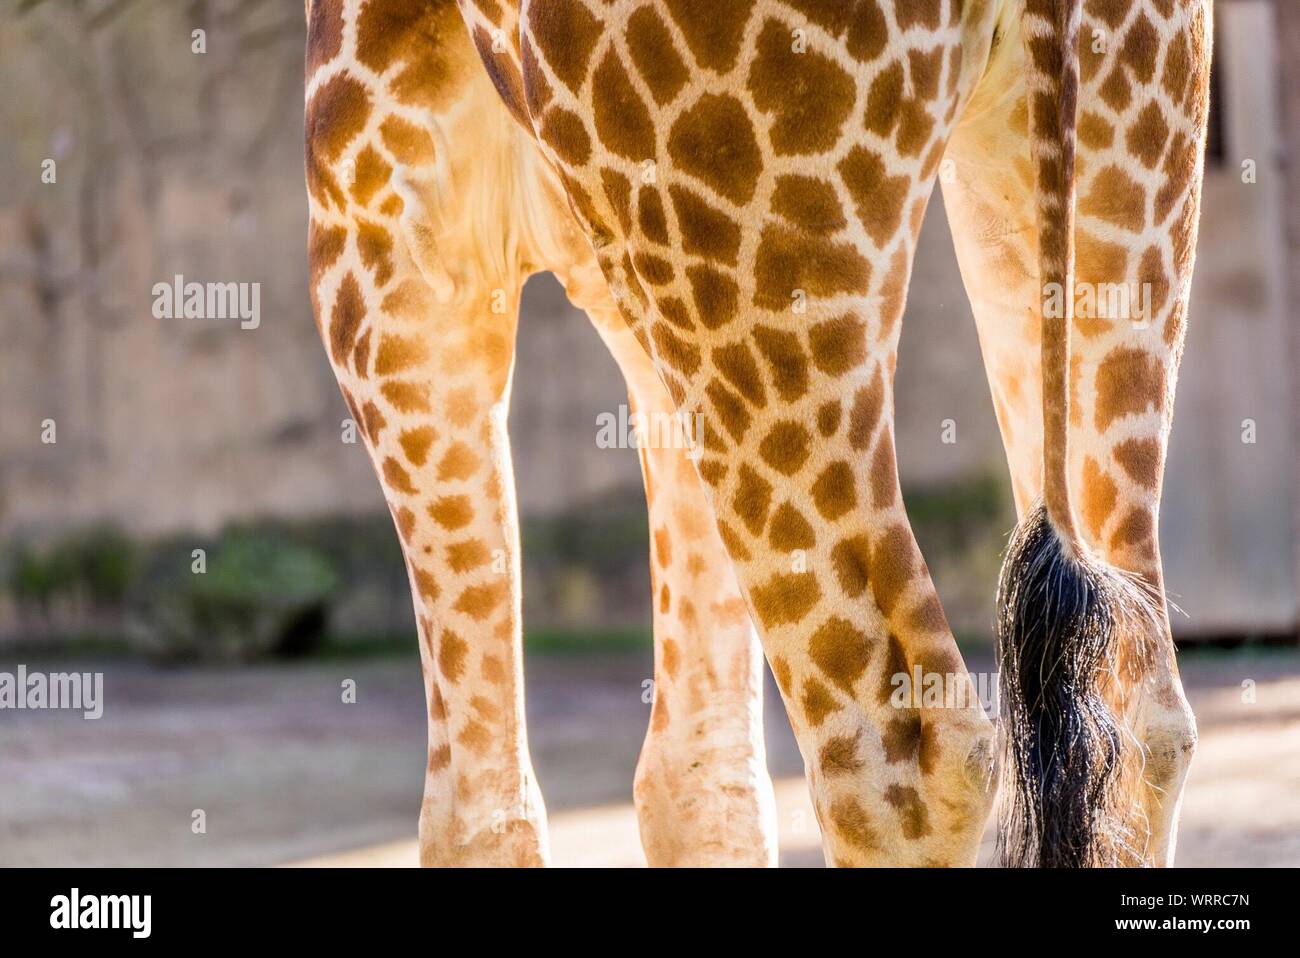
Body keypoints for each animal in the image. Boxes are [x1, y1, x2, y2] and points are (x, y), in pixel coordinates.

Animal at [304, 0, 1211, 867]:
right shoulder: (614, 280)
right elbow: (702, 782)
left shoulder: (390, 238)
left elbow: (477, 814)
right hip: (1112, 155)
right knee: (1137, 704)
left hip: (738, 238)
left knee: (899, 755)